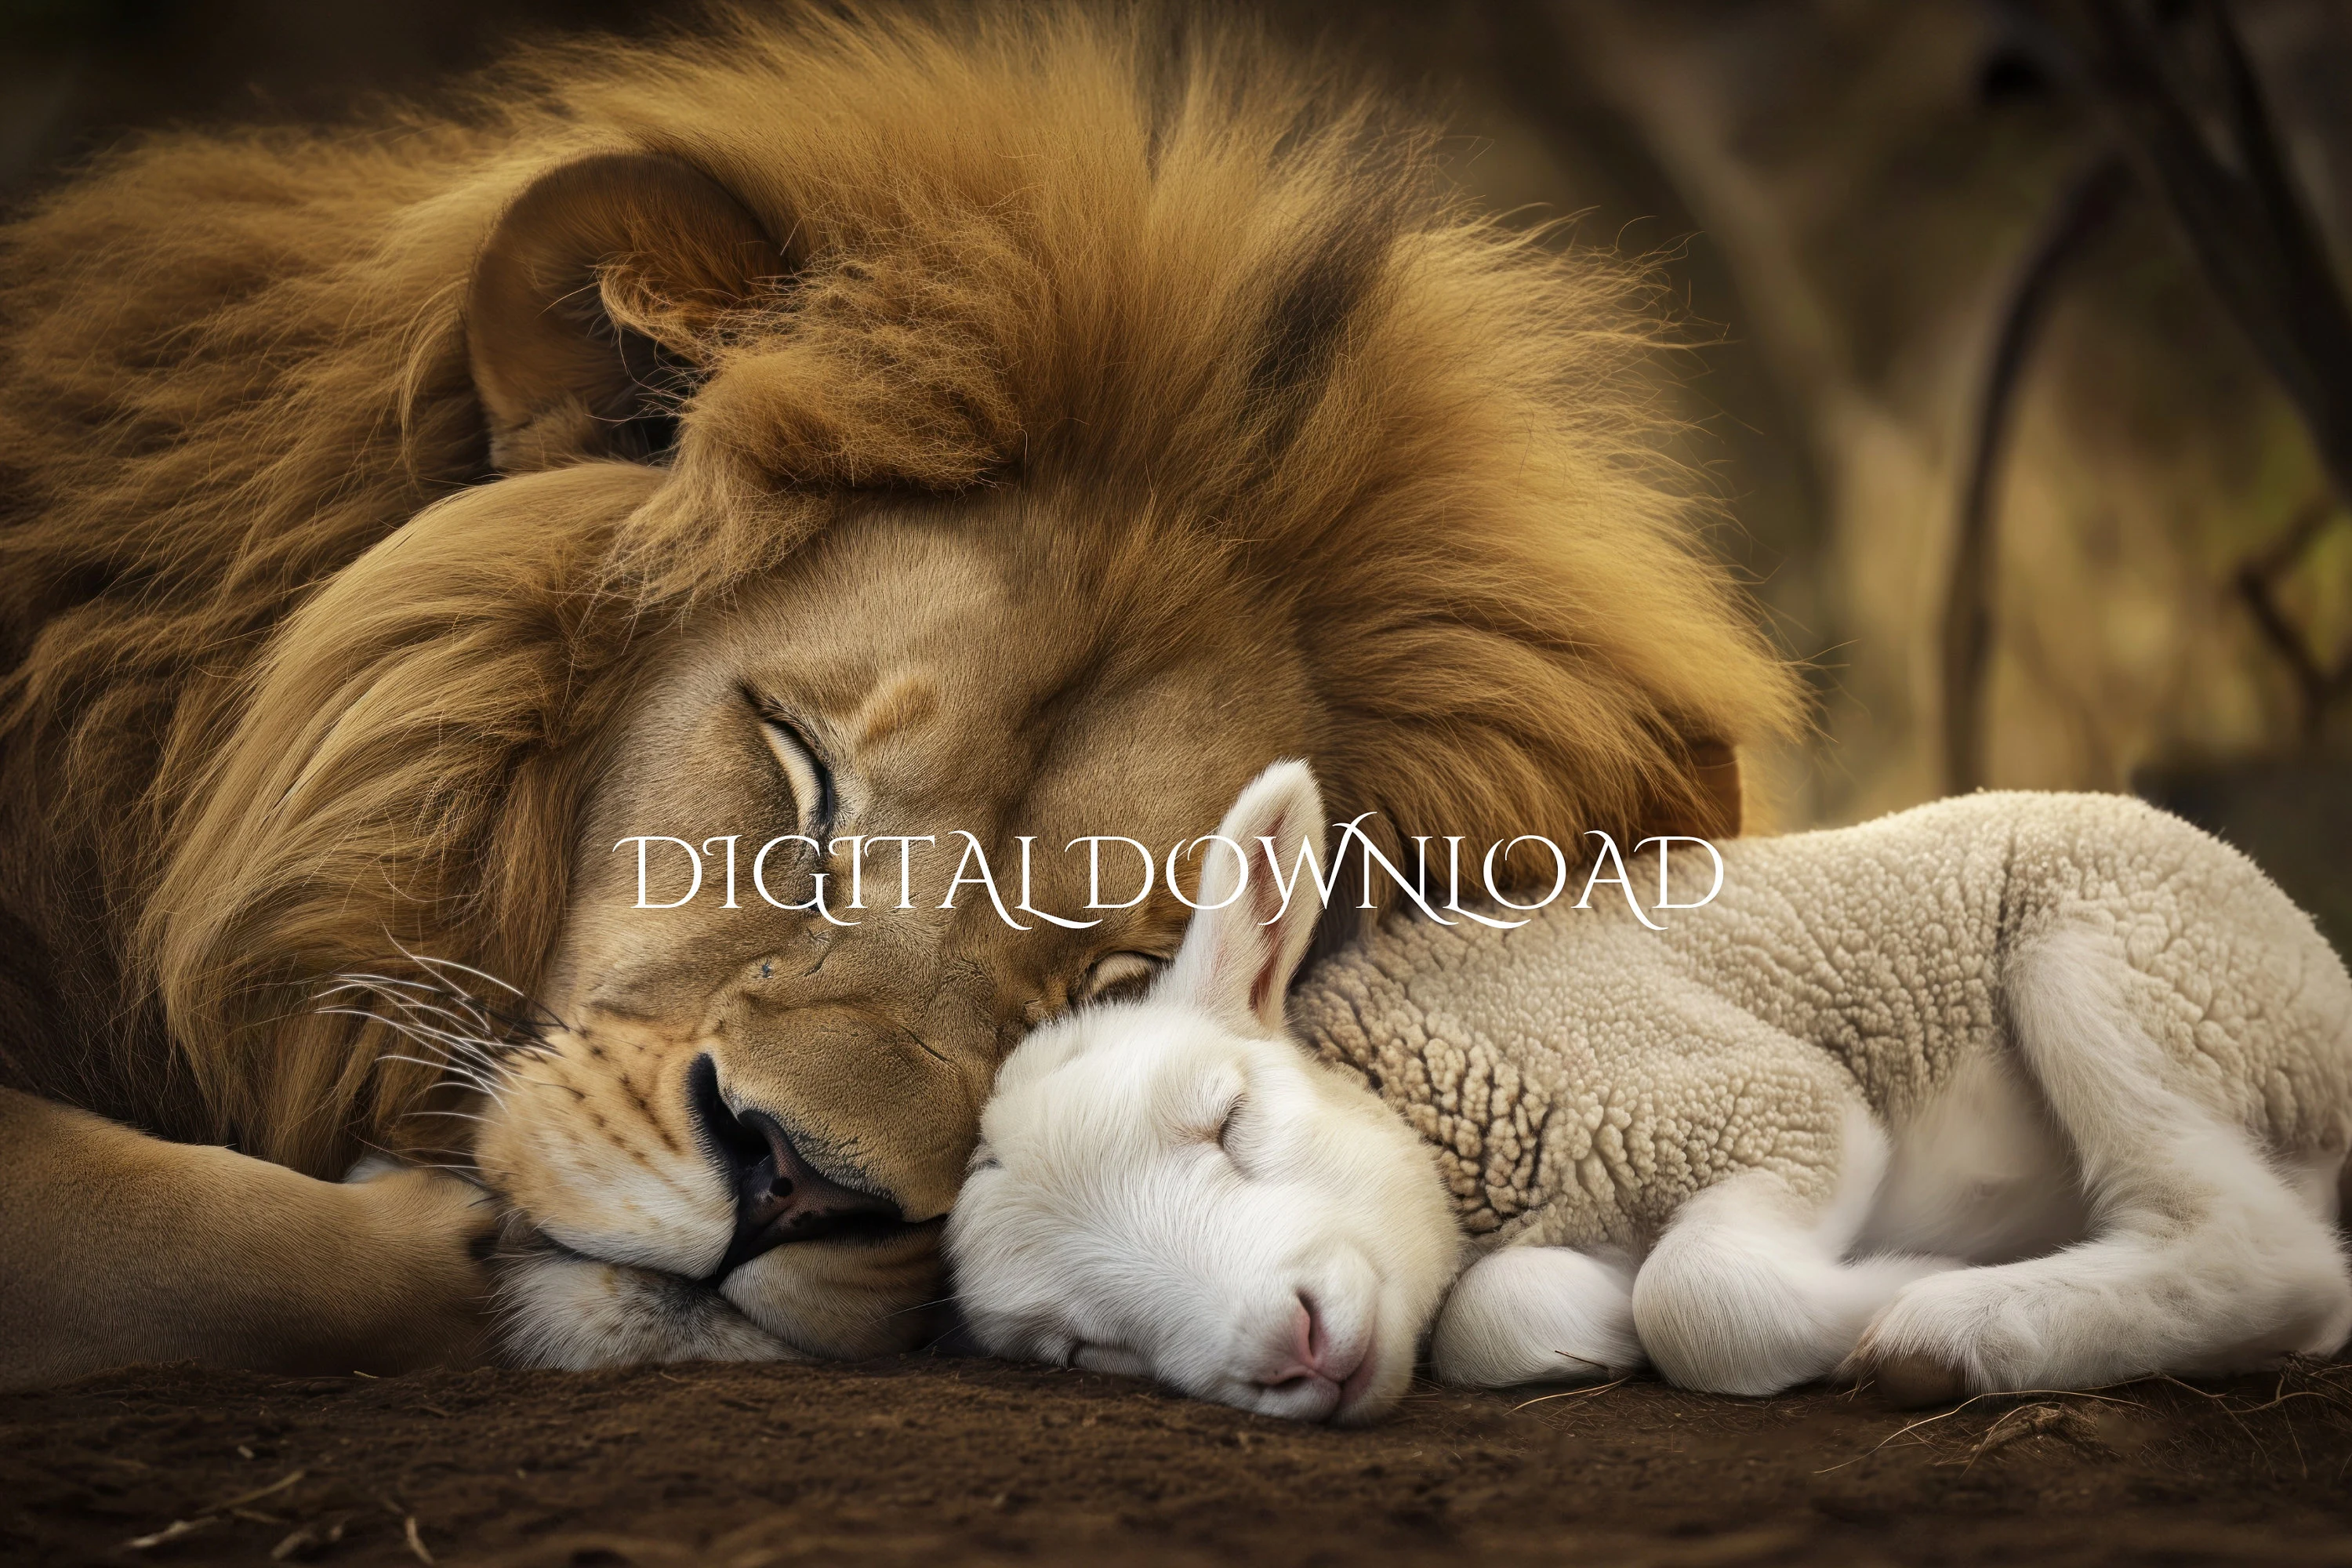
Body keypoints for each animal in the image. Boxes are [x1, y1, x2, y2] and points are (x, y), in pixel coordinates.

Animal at [944, 761, 2352, 1423]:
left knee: (2270, 1259)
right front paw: (1586, 1328)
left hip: (2131, 958)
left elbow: (1700, 1300)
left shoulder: (1743, 1090)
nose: (1285, 1350)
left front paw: (1883, 1291)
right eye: (1083, 1348)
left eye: (1227, 1121)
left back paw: (1952, 1329)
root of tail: (2322, 993)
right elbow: (1507, 1315)